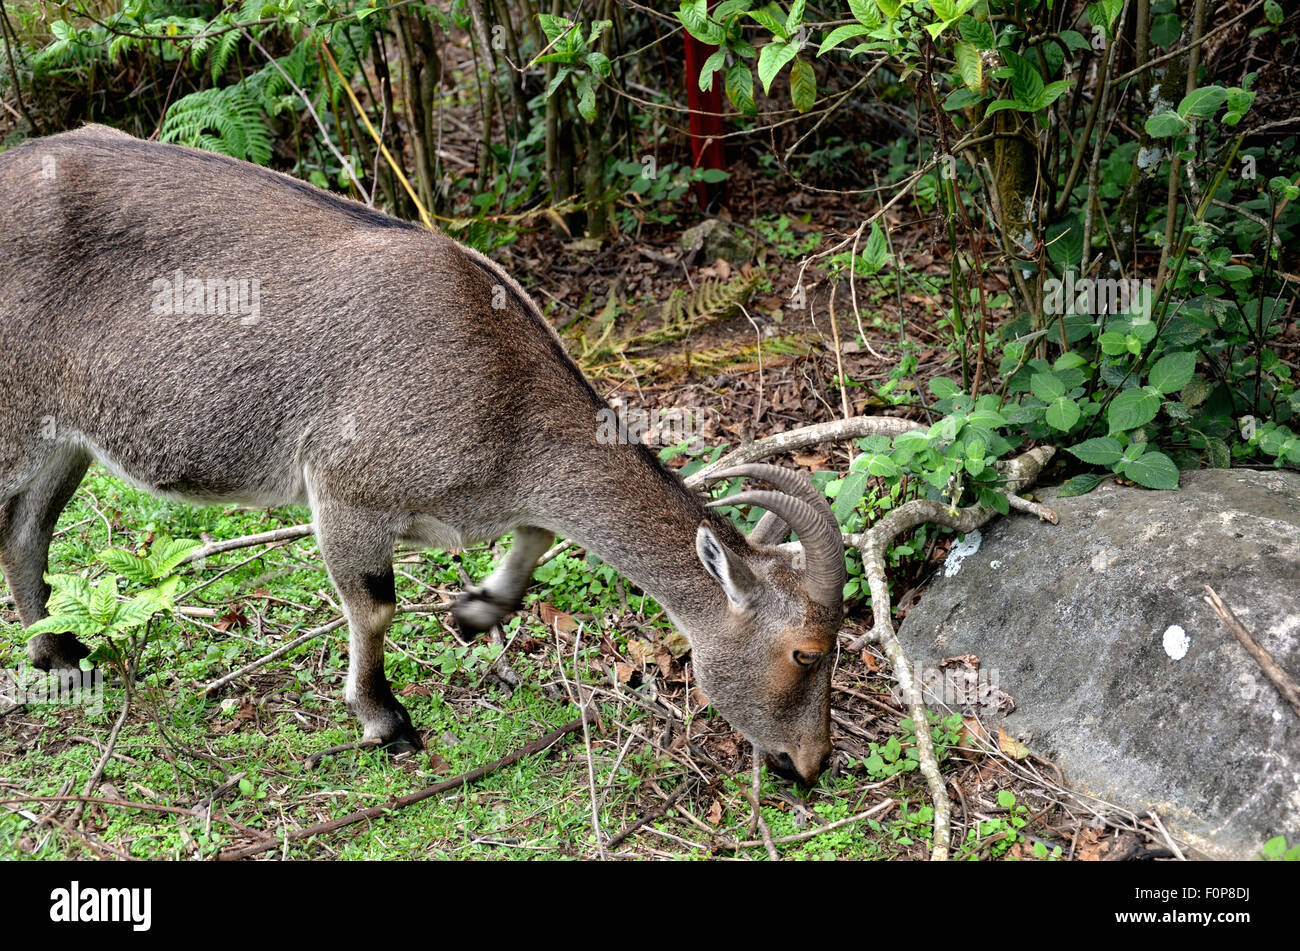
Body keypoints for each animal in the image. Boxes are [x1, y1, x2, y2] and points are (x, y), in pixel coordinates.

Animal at [0, 125, 845, 785]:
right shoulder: (346, 488)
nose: (810, 763)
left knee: (26, 530)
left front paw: (476, 609)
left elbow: (534, 533)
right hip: (17, 415)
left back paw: (58, 654)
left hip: (63, 438)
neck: (503, 391)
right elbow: (375, 606)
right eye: (806, 653)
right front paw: (385, 719)